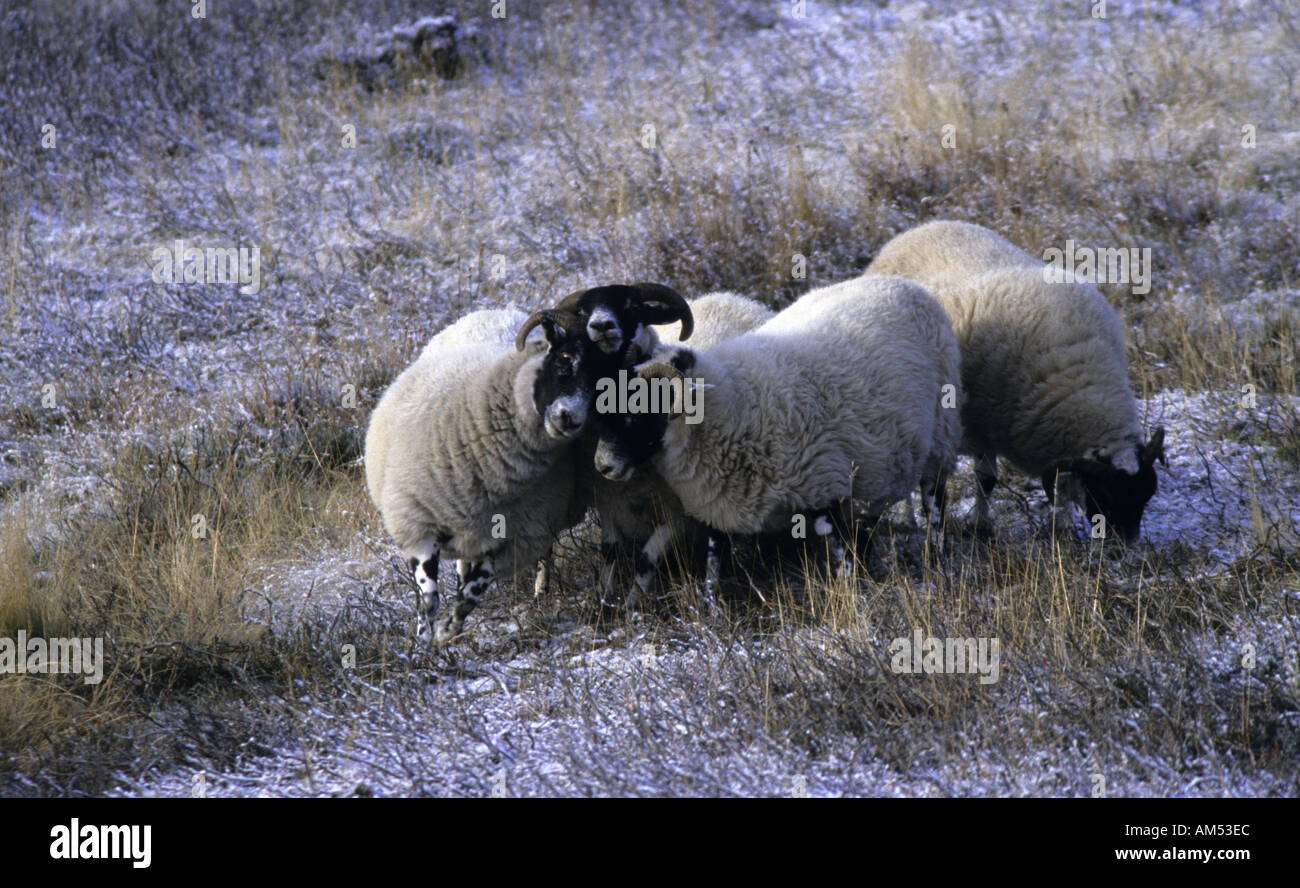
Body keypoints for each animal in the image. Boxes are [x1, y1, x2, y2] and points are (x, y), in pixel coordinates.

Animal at [364, 305, 605, 643]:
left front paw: (448, 630)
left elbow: (471, 594)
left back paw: (540, 592)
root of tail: (501, 310)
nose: (568, 419)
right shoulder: (418, 526)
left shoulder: (515, 538)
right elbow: (429, 597)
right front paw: (423, 641)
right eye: (565, 357)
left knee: (542, 555)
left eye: (602, 385)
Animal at [592, 276, 962, 594]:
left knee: (935, 507)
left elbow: (843, 567)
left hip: (940, 439)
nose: (602, 466)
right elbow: (712, 575)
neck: (733, 403)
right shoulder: (716, 509)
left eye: (642, 408)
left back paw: (939, 566)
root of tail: (902, 282)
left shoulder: (824, 491)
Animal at [865, 220, 1165, 542]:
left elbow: (1060, 487)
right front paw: (980, 523)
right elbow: (986, 480)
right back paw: (907, 518)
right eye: (1105, 494)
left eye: (1147, 493)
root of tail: (924, 227)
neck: (1078, 373)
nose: (1126, 544)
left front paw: (1063, 528)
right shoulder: (980, 424)